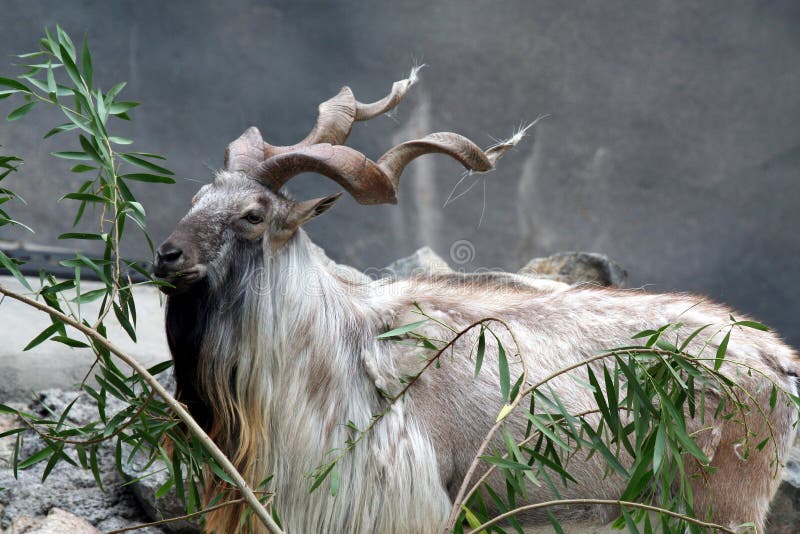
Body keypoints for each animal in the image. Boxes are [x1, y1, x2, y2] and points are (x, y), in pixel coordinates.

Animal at [154, 71, 799, 533]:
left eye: (253, 215)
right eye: (200, 197)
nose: (167, 256)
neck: (336, 344)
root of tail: (774, 357)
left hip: (719, 506)